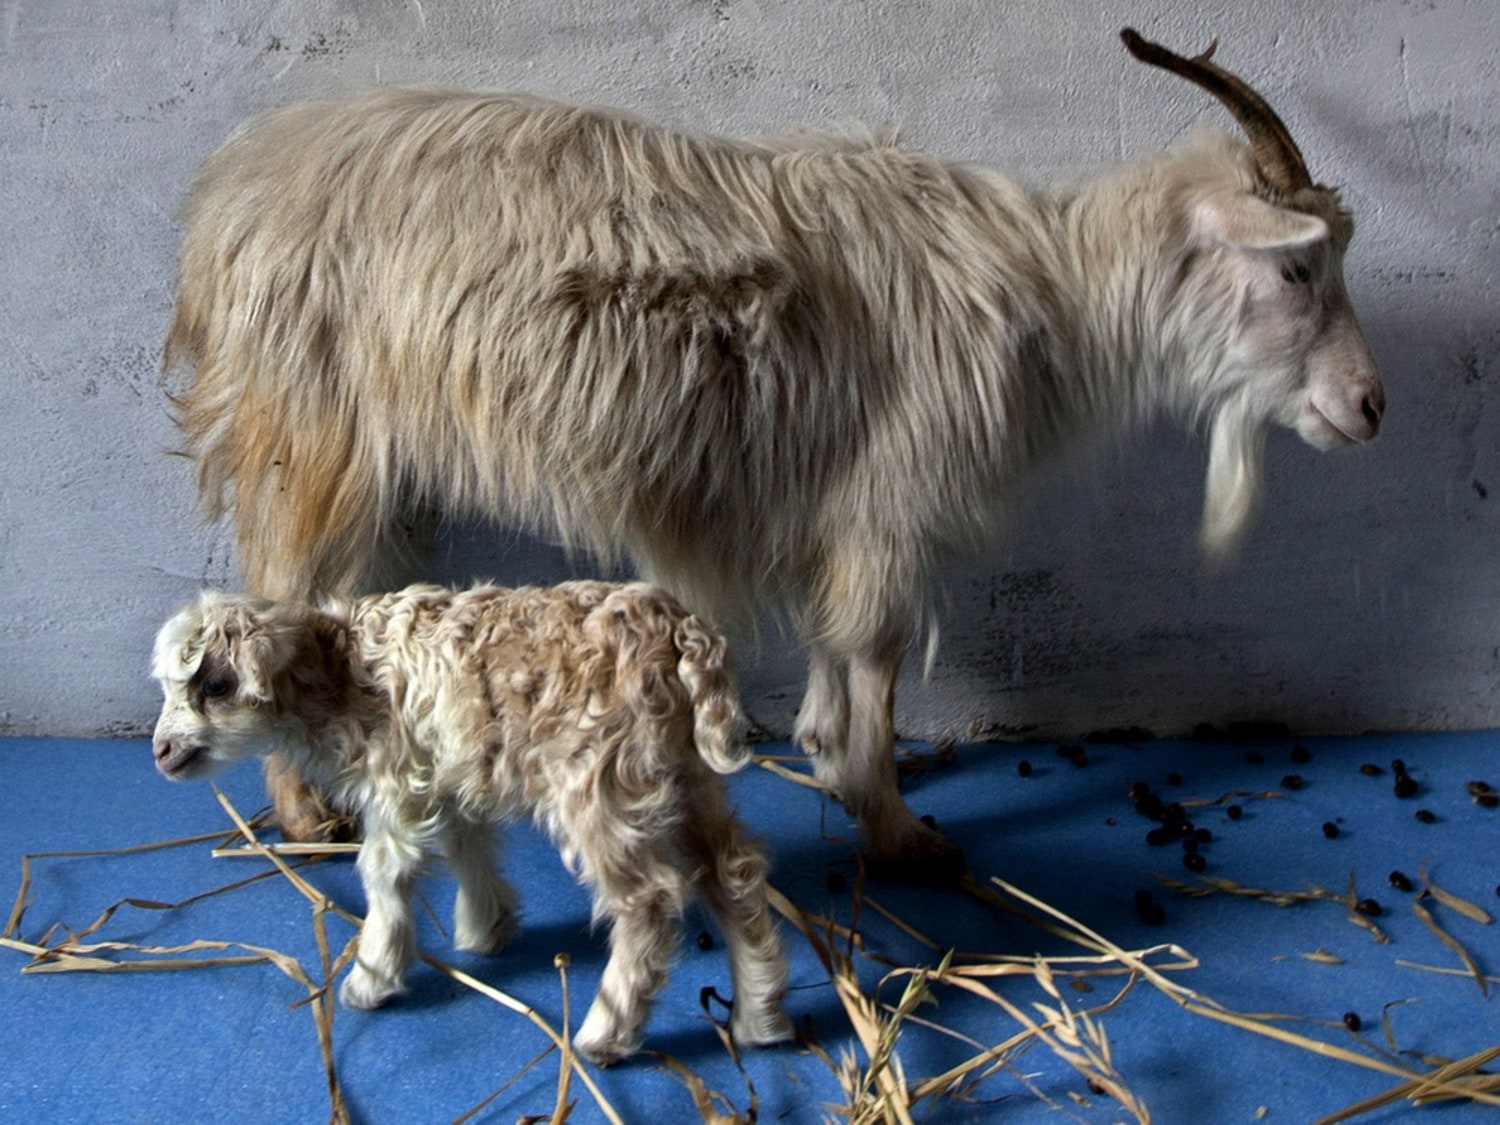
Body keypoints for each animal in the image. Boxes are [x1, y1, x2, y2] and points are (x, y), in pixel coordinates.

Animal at [149, 581, 794, 1064]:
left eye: (216, 684)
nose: (160, 751)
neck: (343, 668)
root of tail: (680, 631)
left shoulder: (396, 782)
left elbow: (383, 874)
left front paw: (373, 975)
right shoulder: (447, 770)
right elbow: (467, 844)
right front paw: (486, 926)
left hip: (602, 780)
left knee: (649, 901)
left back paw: (605, 1035)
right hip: (680, 774)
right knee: (733, 872)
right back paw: (761, 1015)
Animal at [164, 30, 1384, 870]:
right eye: (1296, 267)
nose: (1370, 406)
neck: (1047, 296)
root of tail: (225, 201)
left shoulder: (841, 512)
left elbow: (841, 658)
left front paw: (828, 758)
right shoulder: (886, 507)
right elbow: (874, 657)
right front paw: (896, 823)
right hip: (308, 439)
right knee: (274, 598)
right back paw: (305, 814)